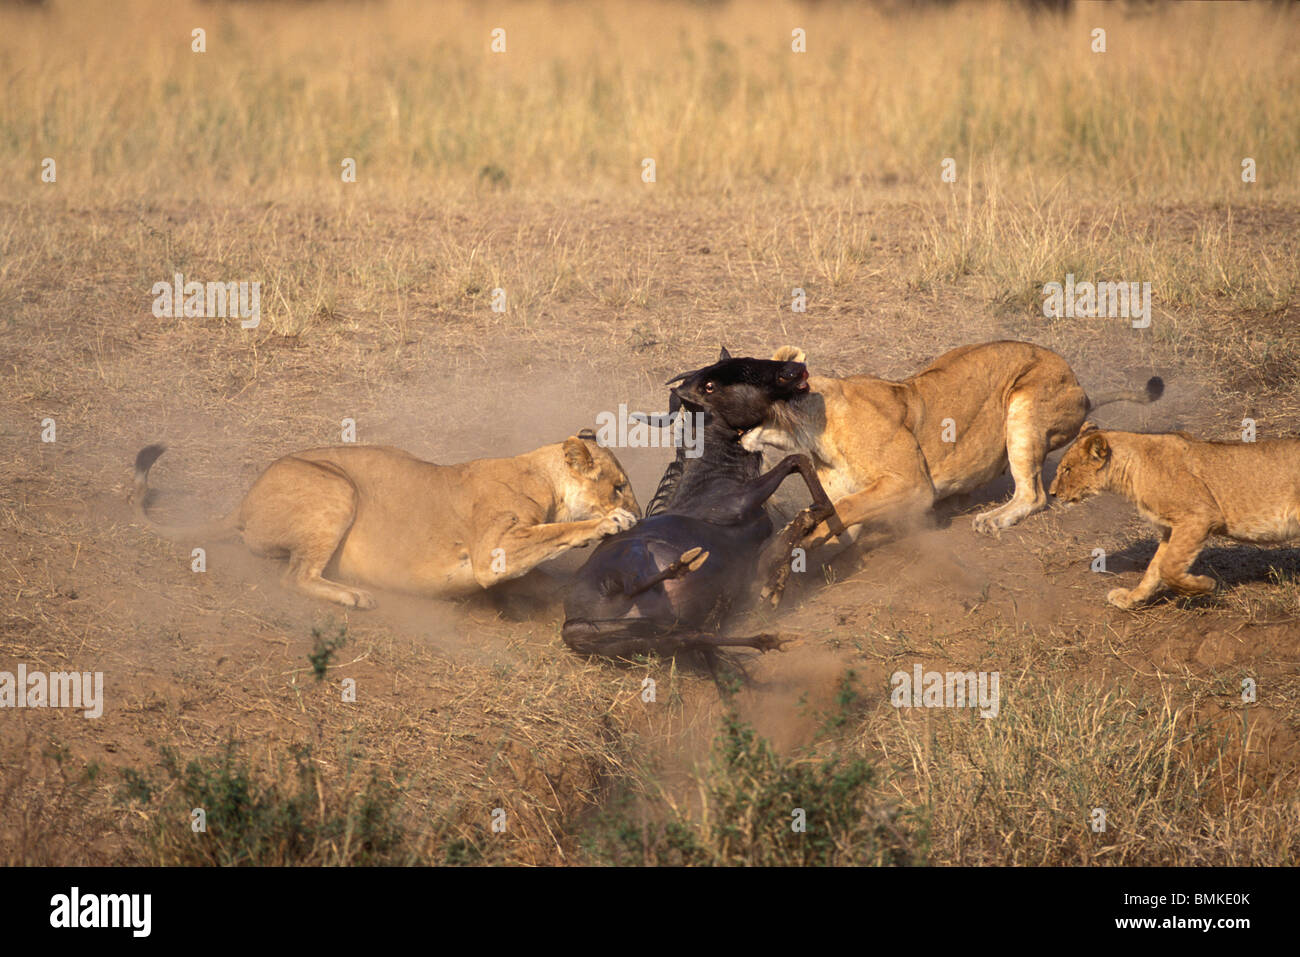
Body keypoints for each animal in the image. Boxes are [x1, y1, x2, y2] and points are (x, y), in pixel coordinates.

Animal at [130, 432, 640, 608]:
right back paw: (352, 596)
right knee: (295, 577)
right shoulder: (492, 552)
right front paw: (610, 524)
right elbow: (560, 531)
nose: (637, 510)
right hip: (337, 488)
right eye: (619, 485)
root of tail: (242, 503)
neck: (544, 478)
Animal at [740, 341, 1163, 551]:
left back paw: (993, 518)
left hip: (1023, 406)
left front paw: (790, 543)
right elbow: (840, 519)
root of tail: (1082, 388)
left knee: (1034, 494)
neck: (809, 430)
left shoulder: (912, 485)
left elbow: (846, 507)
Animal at [1049, 424, 1300, 609]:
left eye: (1067, 470)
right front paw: (1131, 598)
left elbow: (1168, 568)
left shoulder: (1199, 516)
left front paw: (1205, 586)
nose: (1052, 493)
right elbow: (1154, 568)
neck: (1132, 470)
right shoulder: (1171, 529)